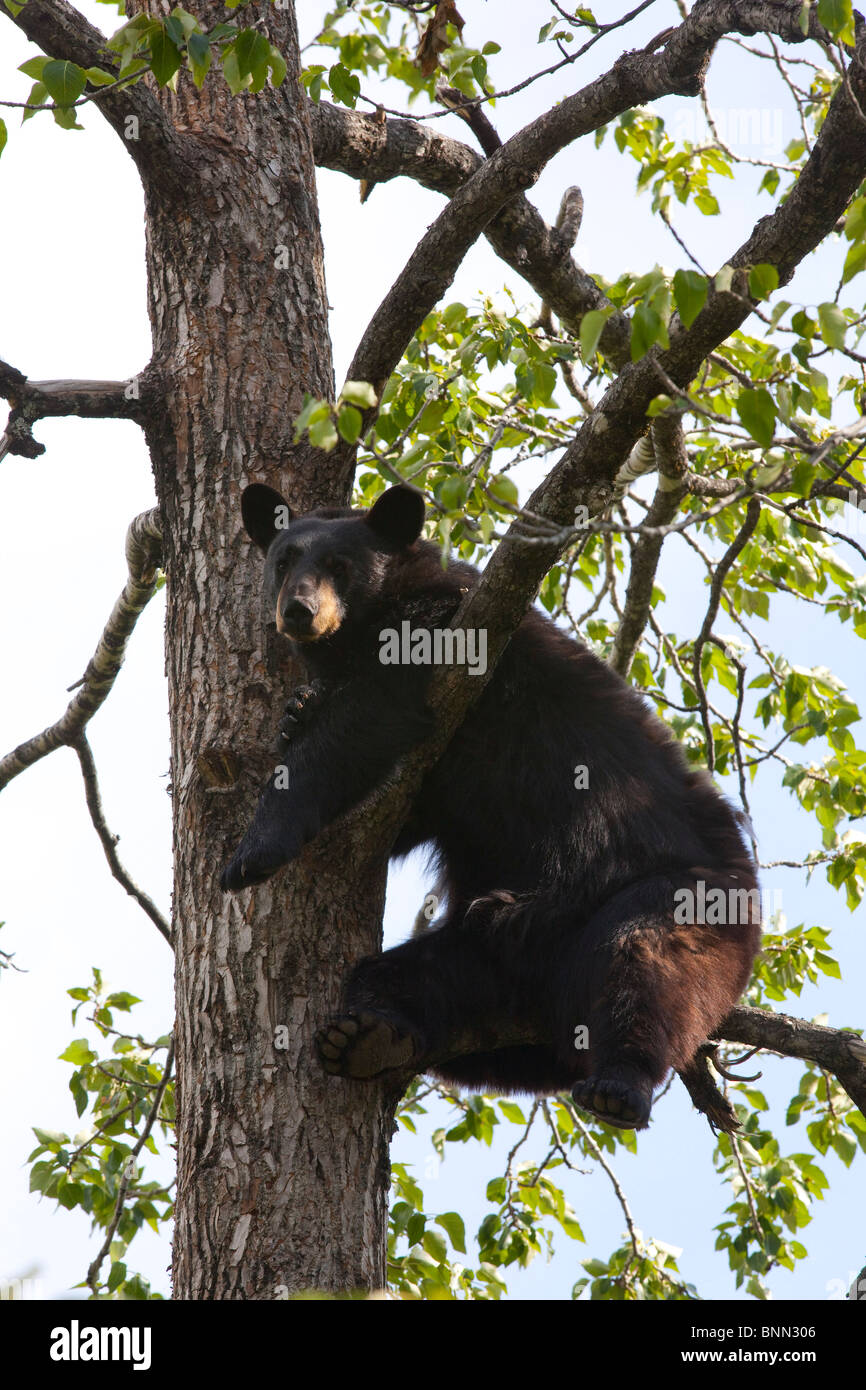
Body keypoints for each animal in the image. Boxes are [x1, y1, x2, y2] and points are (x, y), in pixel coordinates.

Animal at [221, 481, 761, 1129]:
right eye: (284, 561)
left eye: (339, 565)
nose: (299, 611)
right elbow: (403, 814)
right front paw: (296, 711)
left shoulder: (435, 637)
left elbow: (360, 724)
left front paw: (251, 852)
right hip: (487, 961)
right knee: (418, 978)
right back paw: (369, 1037)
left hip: (697, 895)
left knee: (647, 956)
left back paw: (619, 1085)